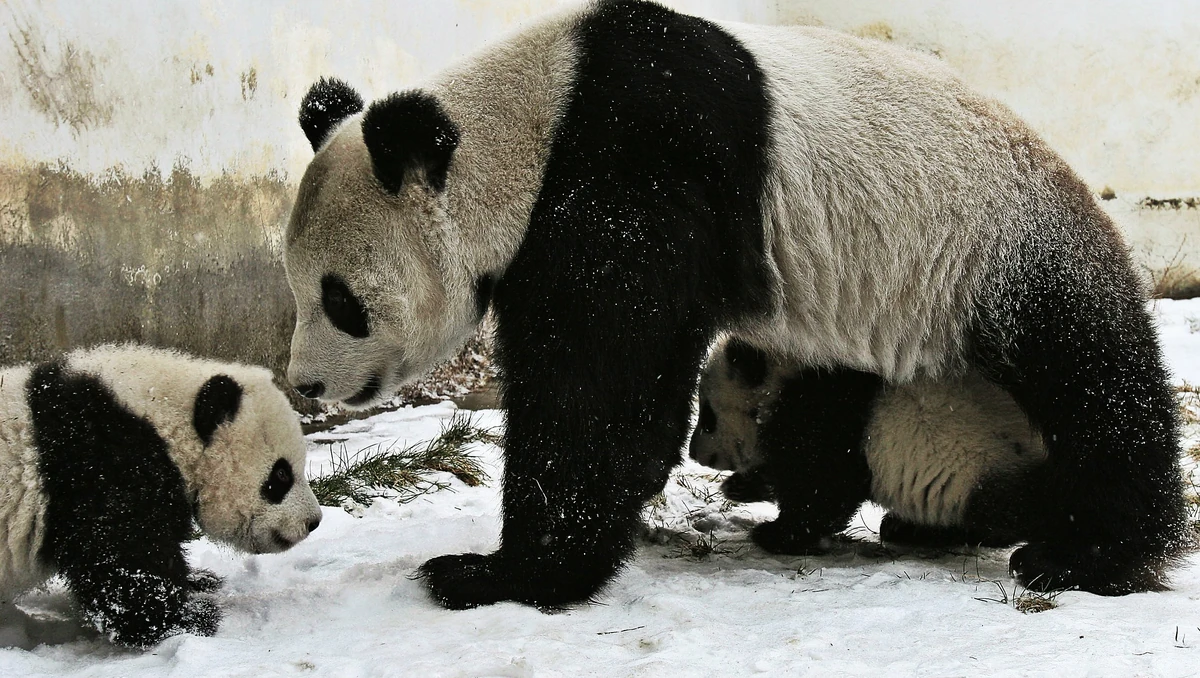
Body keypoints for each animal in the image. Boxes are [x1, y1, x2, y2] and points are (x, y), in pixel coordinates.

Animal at [0, 344, 323, 648]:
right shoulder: (99, 463)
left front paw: (199, 581)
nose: (314, 522)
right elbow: (123, 562)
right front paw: (192, 617)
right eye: (281, 475)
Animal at [689, 339, 1048, 548]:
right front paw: (740, 486)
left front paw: (776, 533)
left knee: (1003, 512)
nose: (694, 453)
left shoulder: (825, 410)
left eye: (708, 416)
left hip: (981, 462)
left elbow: (825, 485)